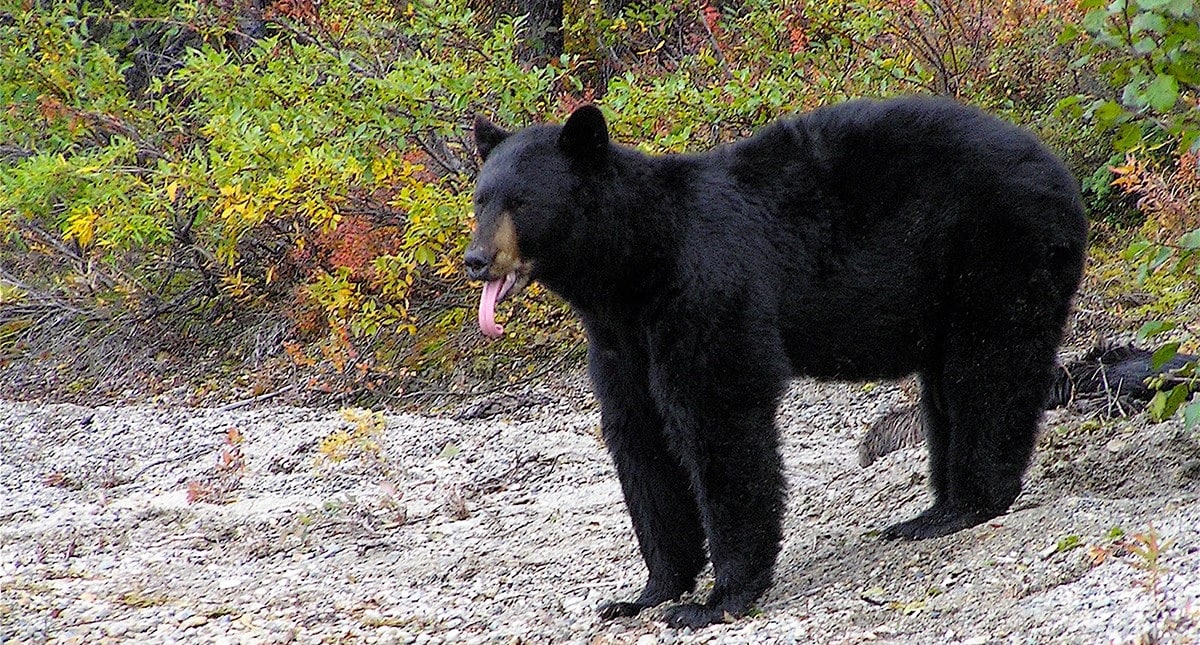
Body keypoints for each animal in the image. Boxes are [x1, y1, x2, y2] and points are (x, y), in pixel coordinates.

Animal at [463, 97, 1087, 628]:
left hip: (996, 248)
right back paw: (932, 513)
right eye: (481, 198)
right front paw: (647, 592)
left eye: (521, 201)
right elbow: (639, 439)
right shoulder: (622, 339)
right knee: (947, 390)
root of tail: (1059, 171)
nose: (476, 259)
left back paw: (971, 503)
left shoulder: (707, 293)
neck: (634, 267)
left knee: (988, 368)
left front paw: (716, 599)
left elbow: (719, 420)